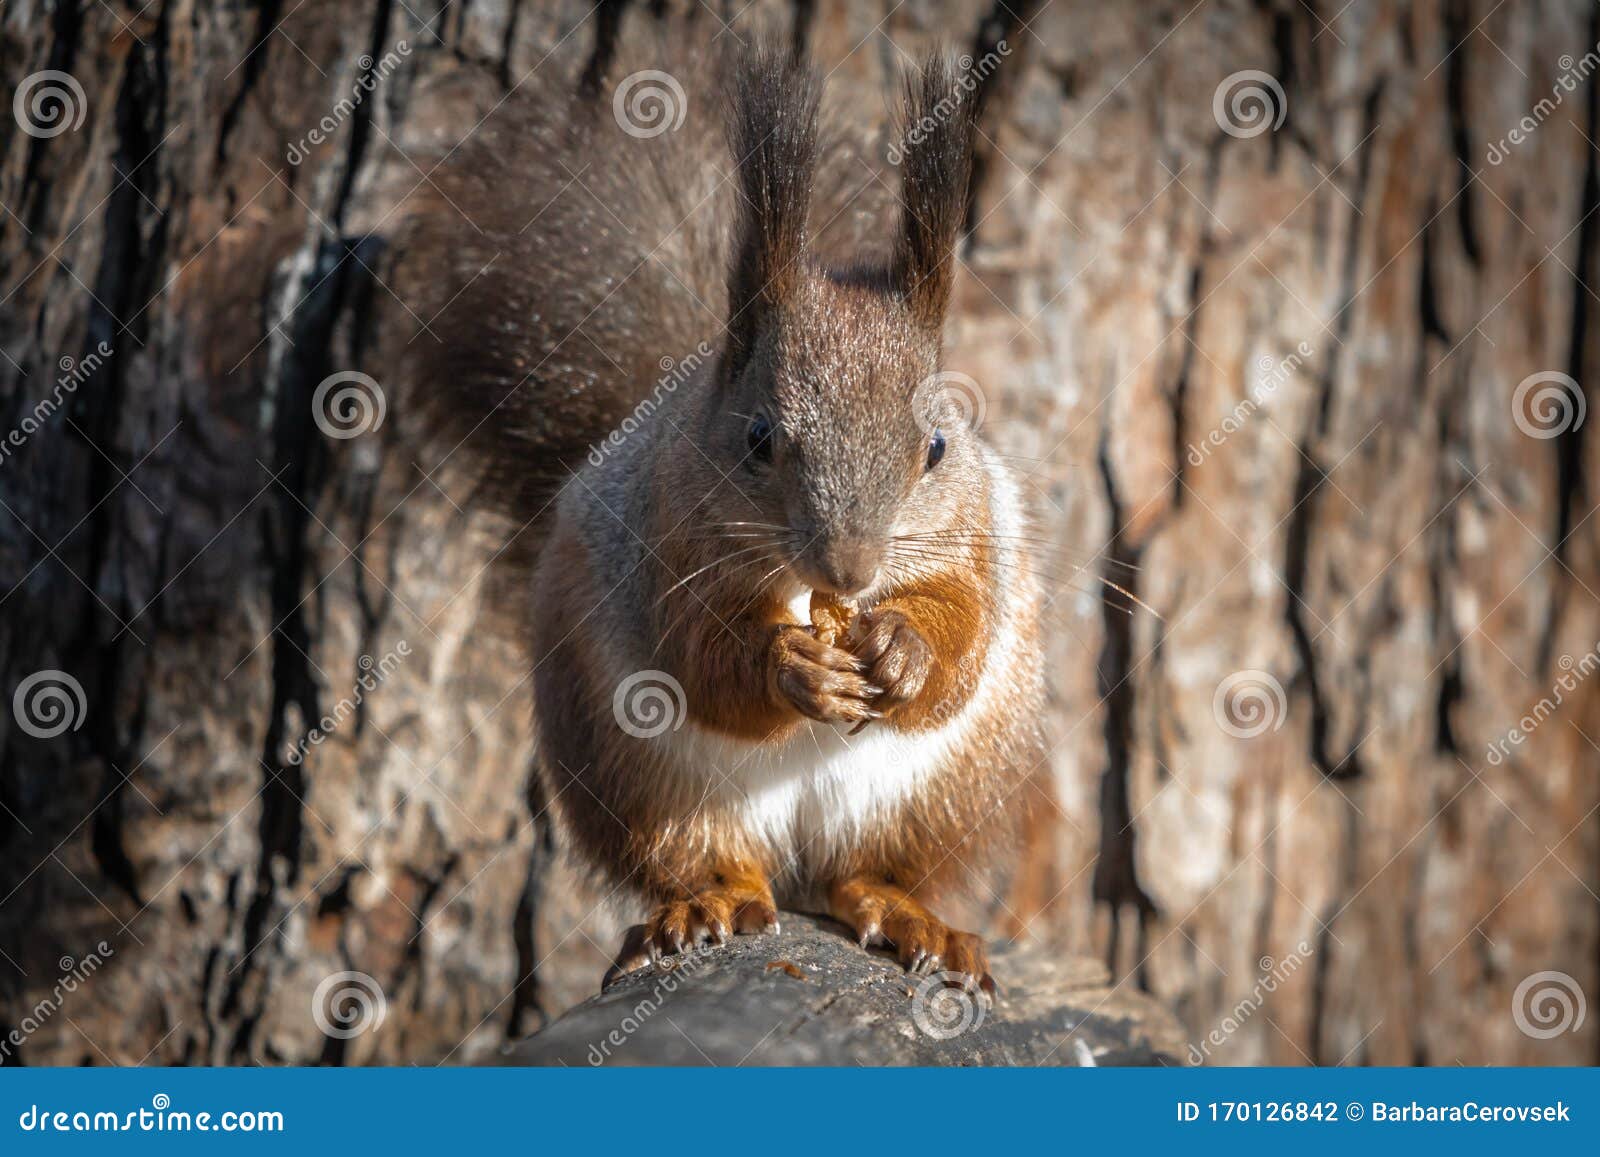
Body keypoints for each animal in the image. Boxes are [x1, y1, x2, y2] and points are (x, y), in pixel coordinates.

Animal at [399, 37, 1045, 999]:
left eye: (937, 445)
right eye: (758, 438)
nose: (851, 571)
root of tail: (797, 852)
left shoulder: (975, 536)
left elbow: (961, 632)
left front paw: (903, 647)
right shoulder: (666, 539)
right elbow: (702, 658)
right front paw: (793, 666)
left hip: (946, 792)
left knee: (868, 871)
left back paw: (909, 915)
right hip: (642, 773)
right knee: (704, 858)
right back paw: (706, 906)